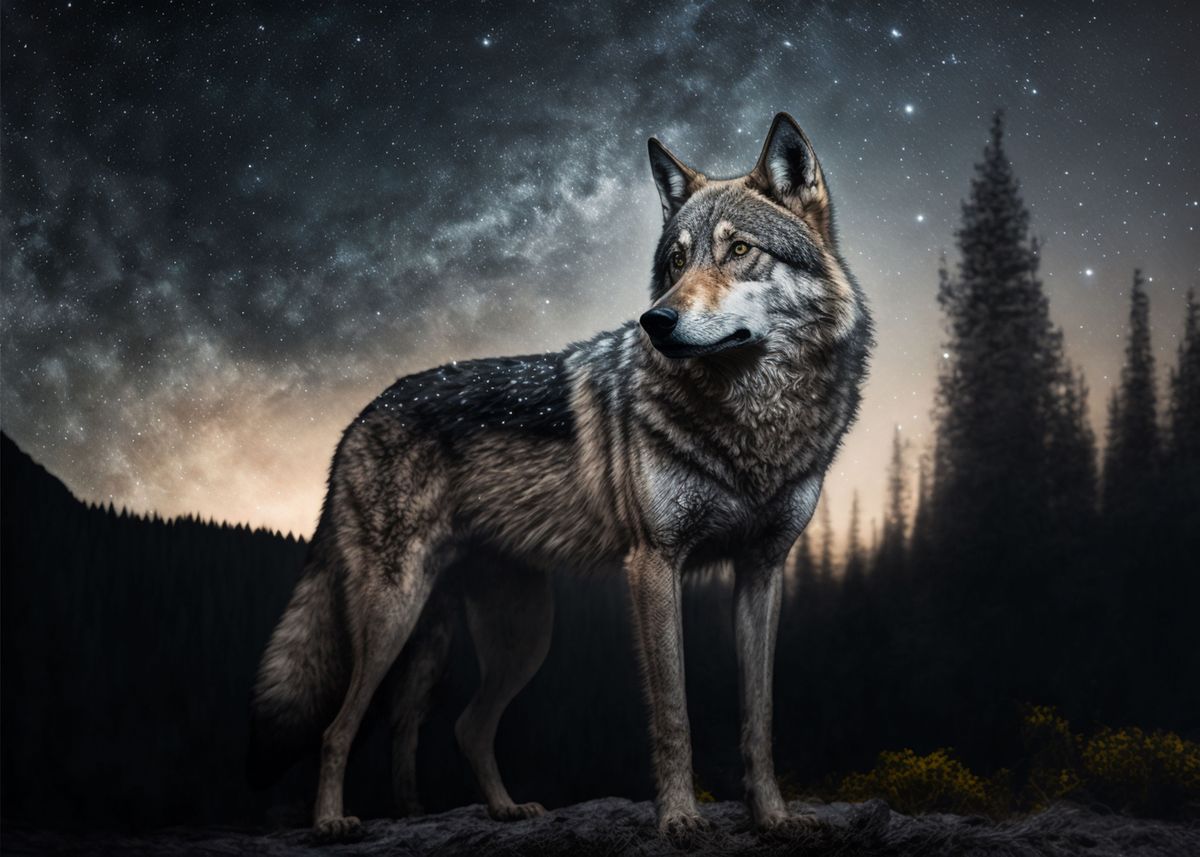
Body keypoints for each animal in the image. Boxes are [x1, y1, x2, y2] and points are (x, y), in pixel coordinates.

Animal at [248, 112, 872, 841]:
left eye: (740, 249)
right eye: (676, 260)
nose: (656, 321)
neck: (754, 420)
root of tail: (360, 416)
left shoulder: (763, 571)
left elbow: (759, 716)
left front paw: (772, 817)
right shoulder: (654, 565)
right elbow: (673, 712)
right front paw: (679, 819)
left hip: (516, 635)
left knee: (458, 726)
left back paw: (491, 810)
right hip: (394, 615)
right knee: (339, 727)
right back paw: (332, 821)